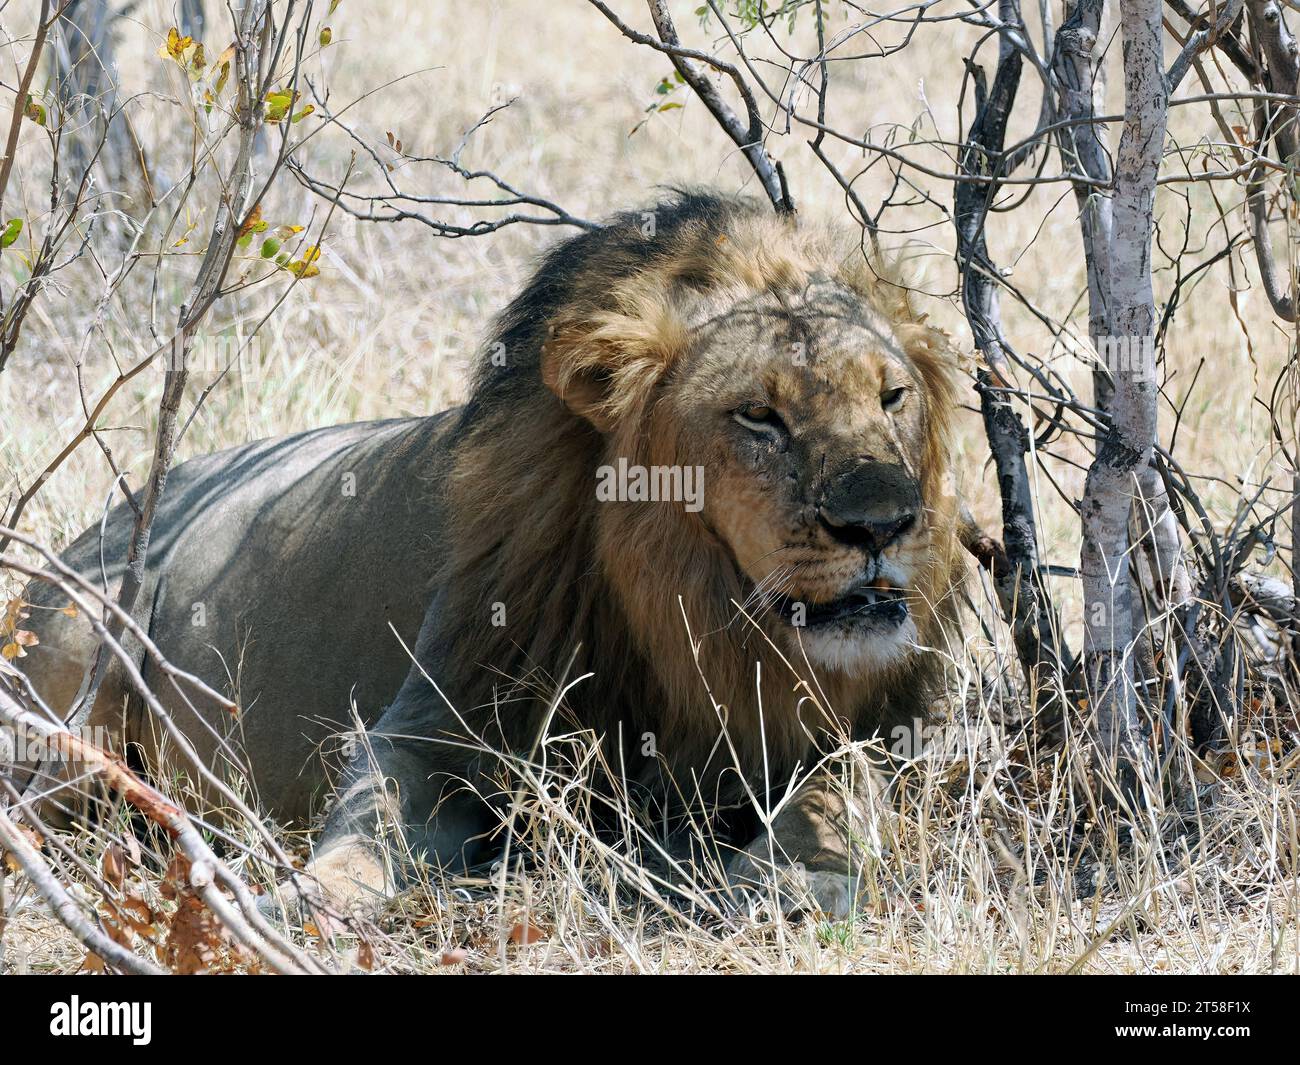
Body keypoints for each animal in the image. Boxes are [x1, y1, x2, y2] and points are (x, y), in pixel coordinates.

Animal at [18, 191, 966, 917]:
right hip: (74, 678)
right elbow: (369, 831)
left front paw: (782, 881)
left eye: (892, 396)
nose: (883, 521)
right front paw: (291, 905)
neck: (697, 615)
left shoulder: (890, 730)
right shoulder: (434, 724)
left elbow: (842, 785)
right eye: (758, 416)